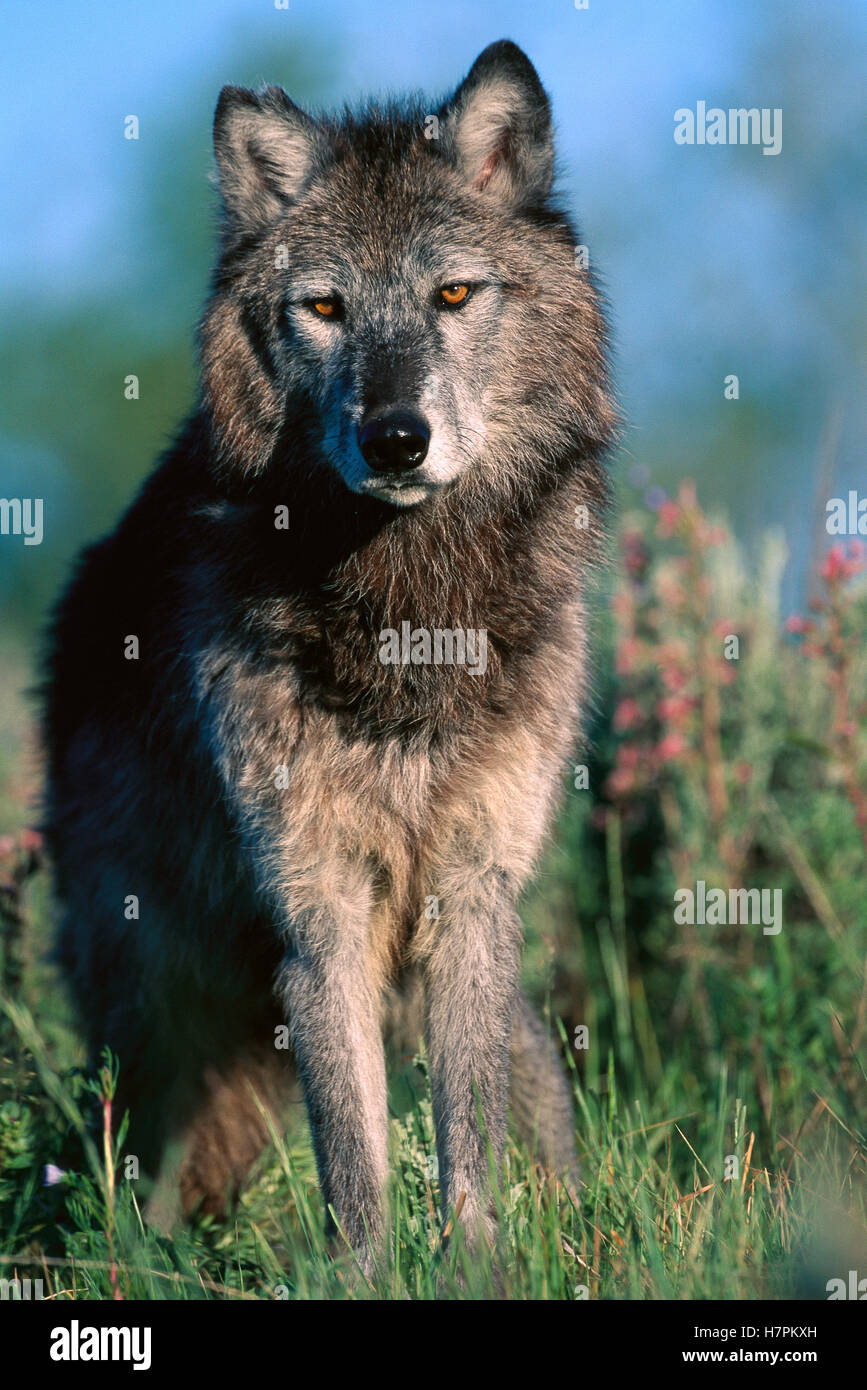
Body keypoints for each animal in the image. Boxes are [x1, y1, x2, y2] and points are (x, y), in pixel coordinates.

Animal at [43, 40, 616, 1271]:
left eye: (454, 294)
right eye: (324, 307)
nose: (398, 437)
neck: (409, 609)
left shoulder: (472, 897)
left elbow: (464, 1134)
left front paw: (476, 1263)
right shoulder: (320, 912)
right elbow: (352, 1145)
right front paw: (368, 1273)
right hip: (162, 1007)